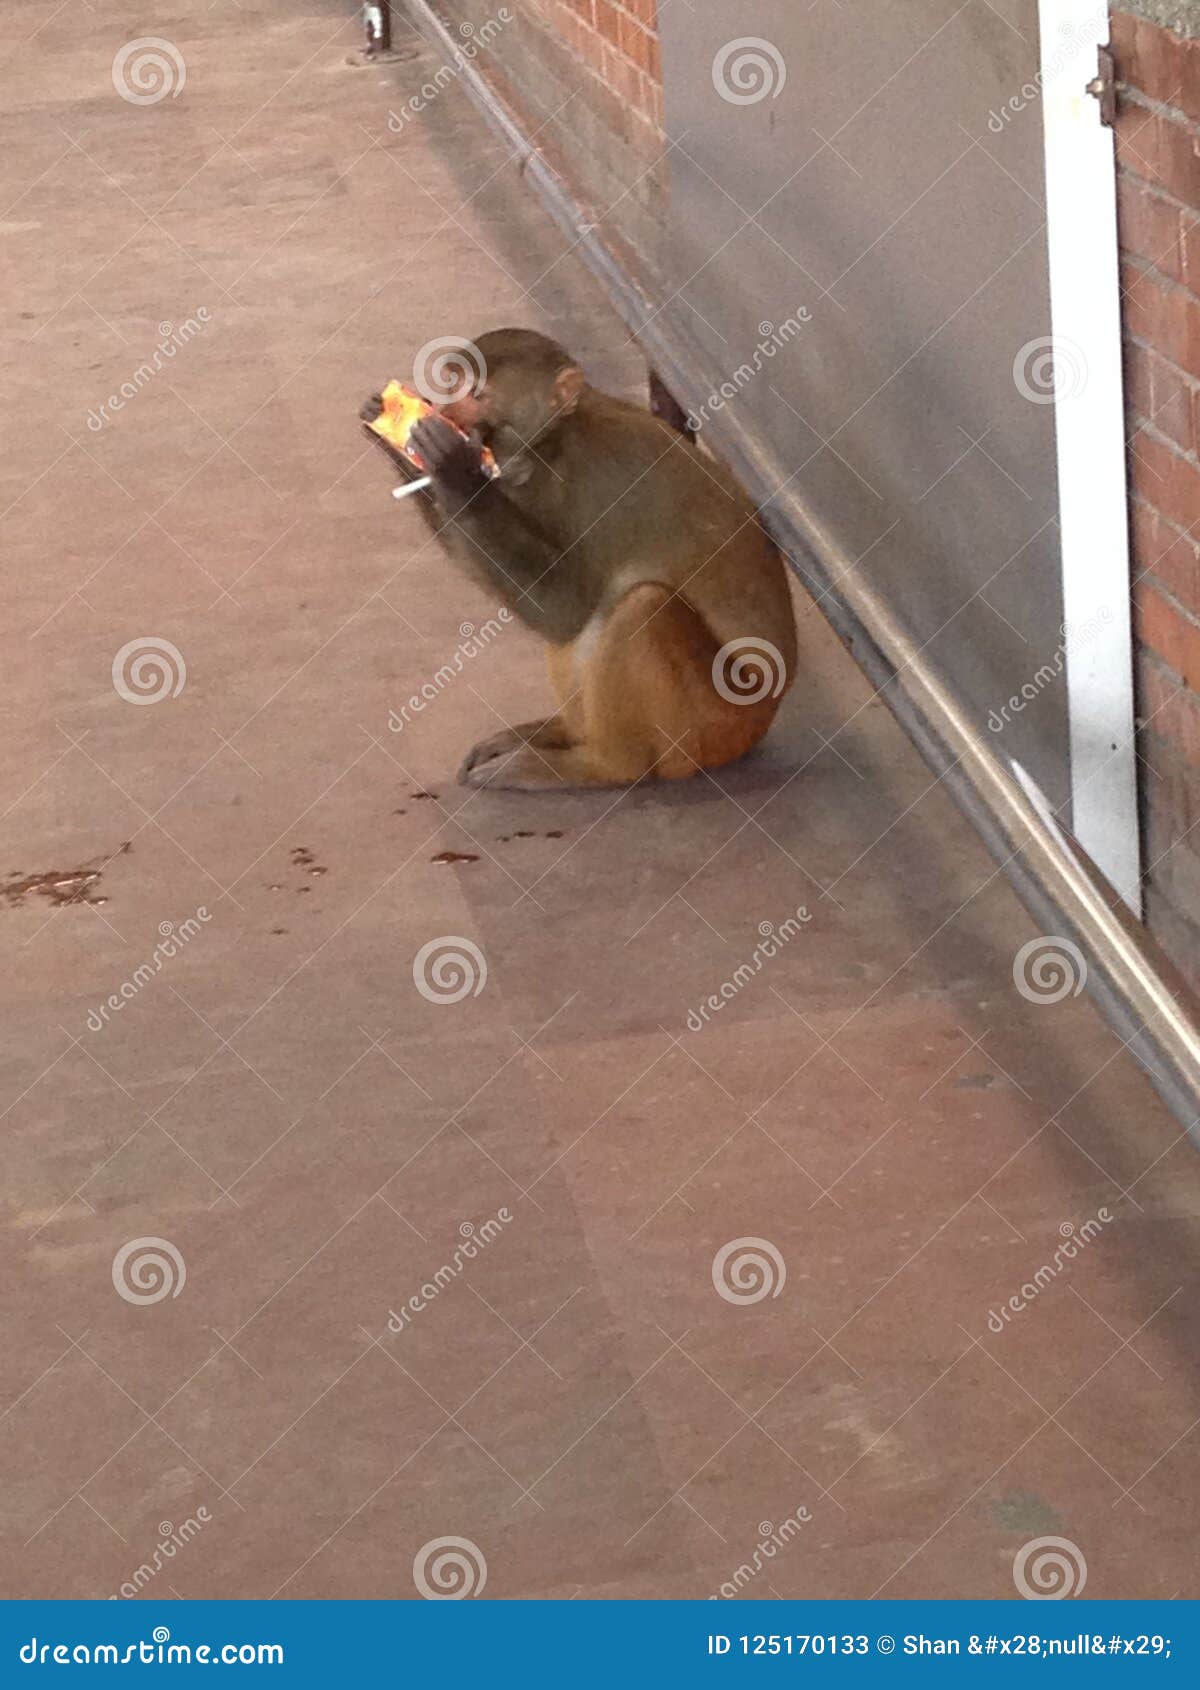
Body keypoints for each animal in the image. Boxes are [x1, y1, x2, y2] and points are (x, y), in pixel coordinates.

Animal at [363, 327, 797, 790]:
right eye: (454, 388)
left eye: (478, 394)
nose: (446, 412)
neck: (555, 441)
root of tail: (768, 711)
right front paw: (395, 442)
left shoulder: (599, 479)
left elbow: (565, 610)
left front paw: (454, 472)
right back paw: (560, 733)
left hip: (716, 727)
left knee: (640, 605)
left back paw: (601, 766)